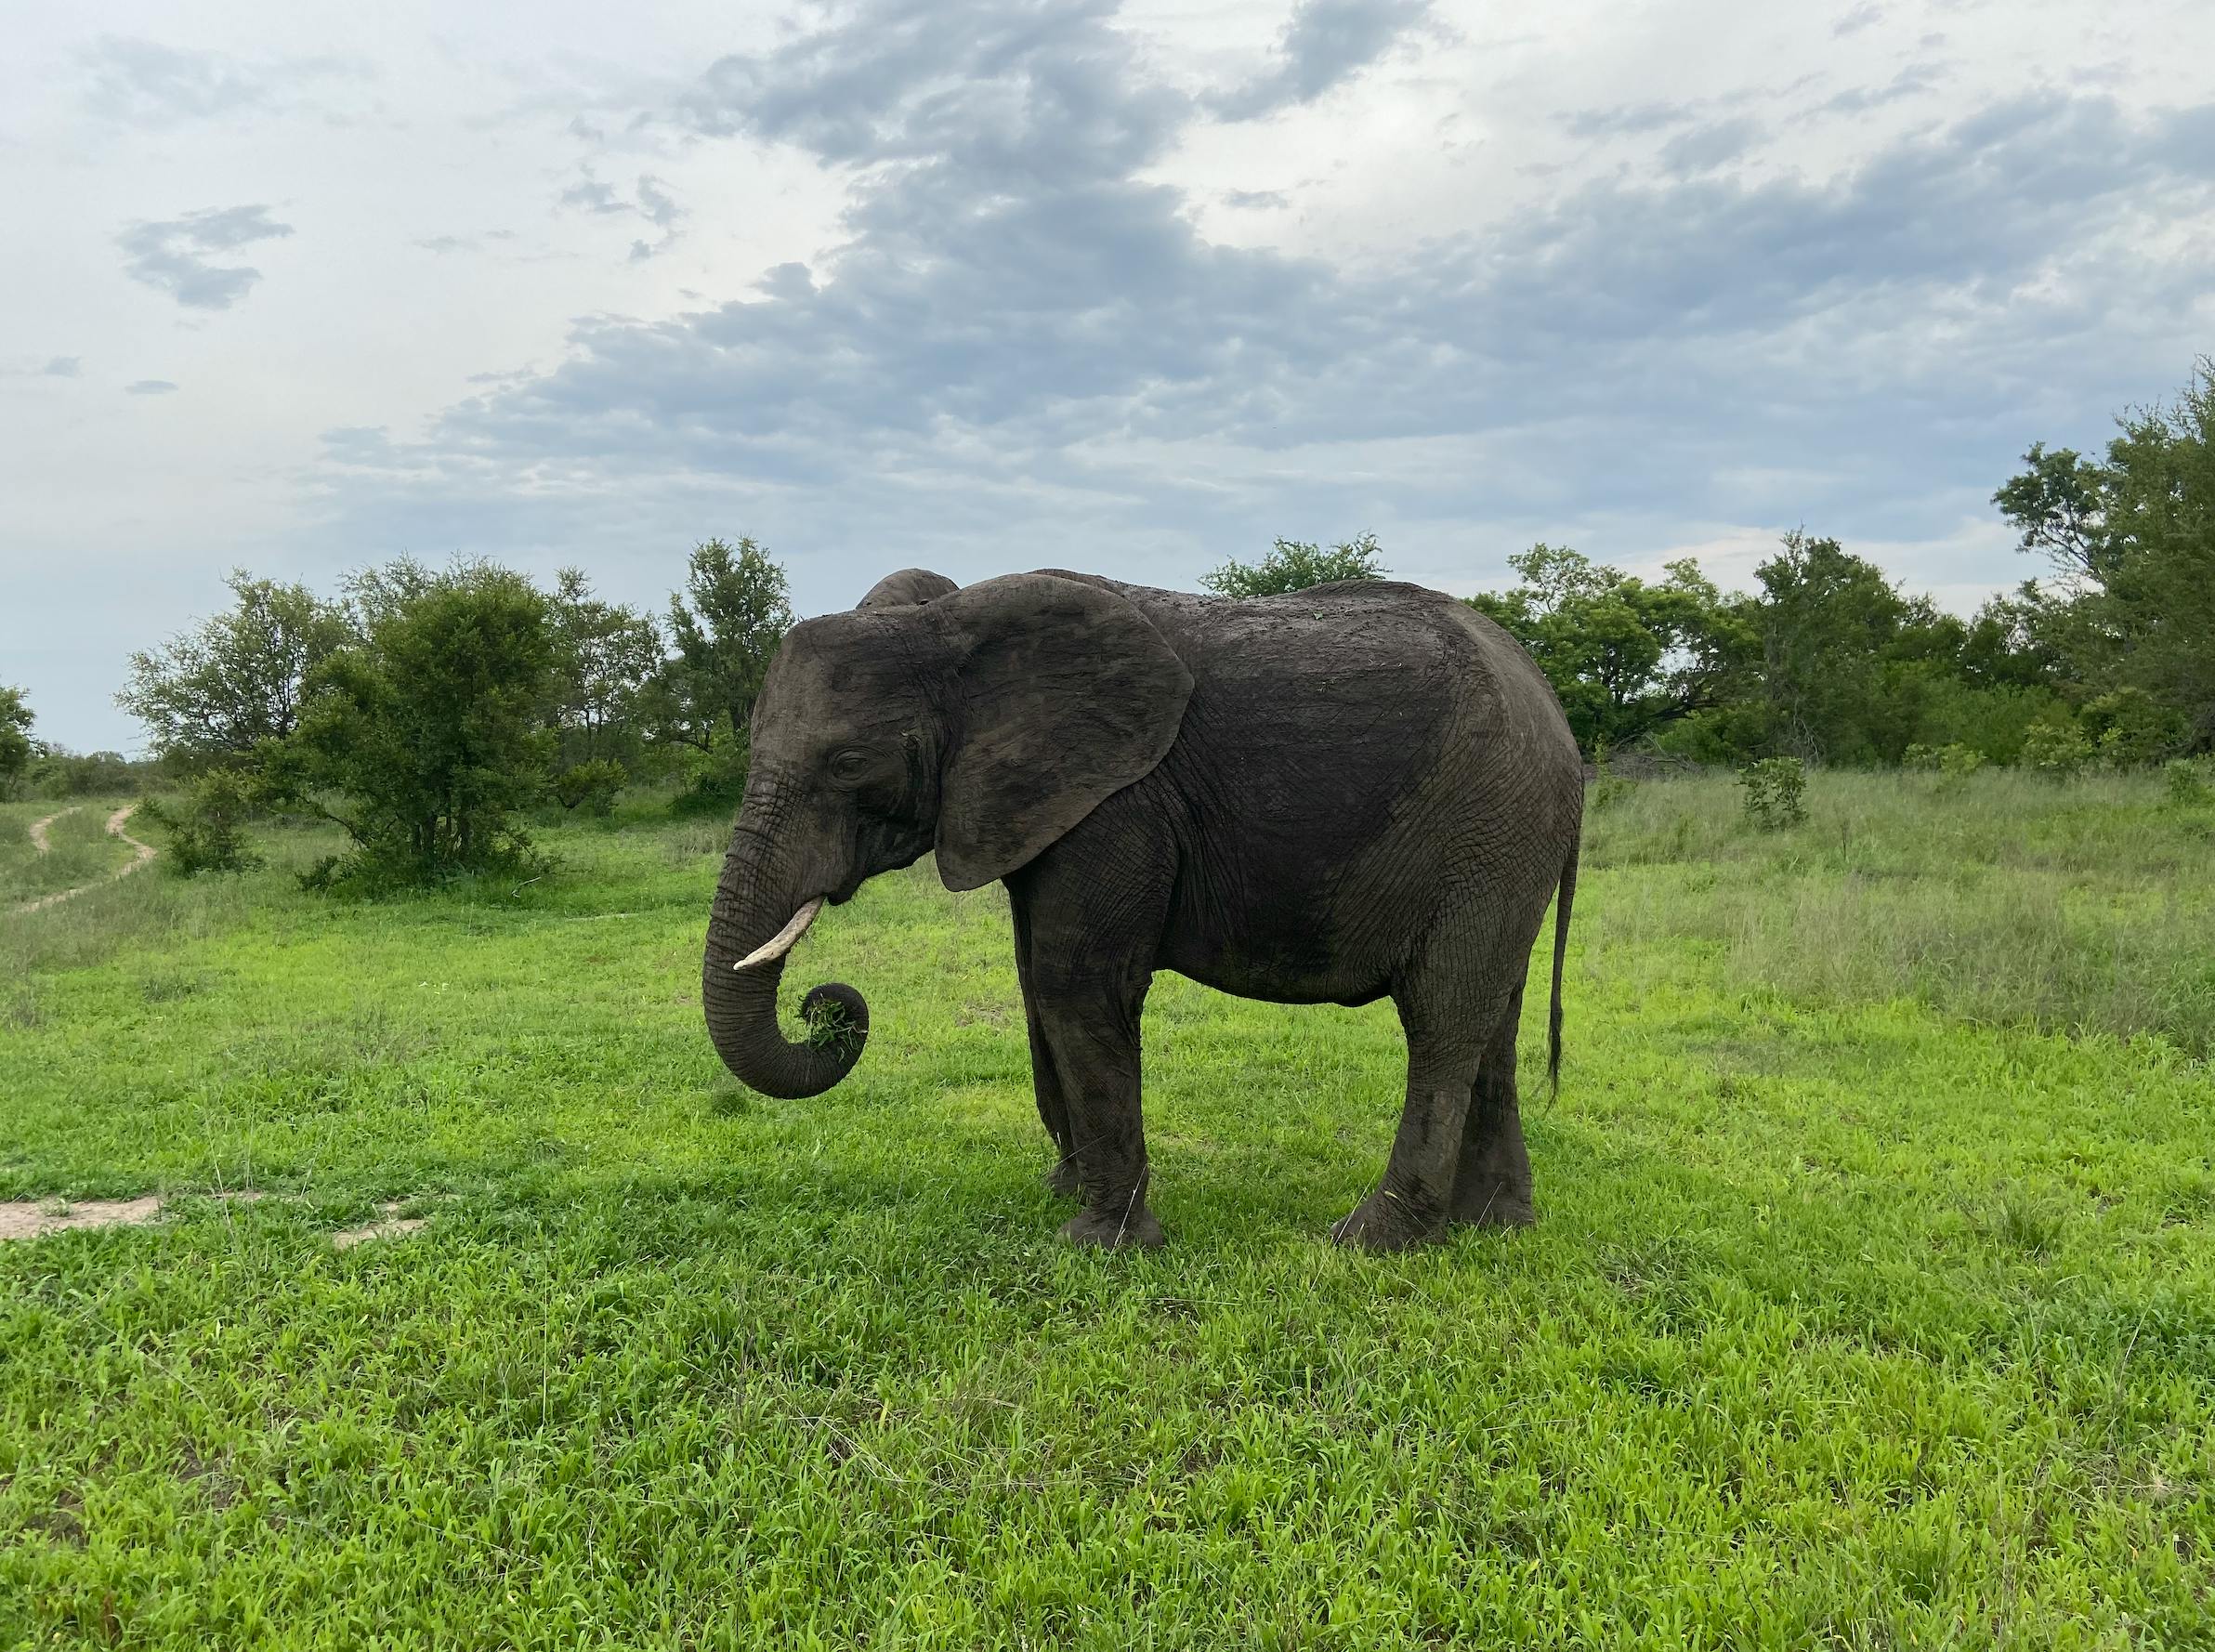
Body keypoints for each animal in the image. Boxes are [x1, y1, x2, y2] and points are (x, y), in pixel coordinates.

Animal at [702, 567, 1584, 1252]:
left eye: (849, 764)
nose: (826, 1006)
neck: (951, 631)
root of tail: (1557, 717)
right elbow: (1035, 985)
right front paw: (1063, 1189)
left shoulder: (1119, 805)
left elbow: (1077, 987)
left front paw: (1099, 1242)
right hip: (1506, 847)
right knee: (1493, 1022)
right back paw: (1495, 1226)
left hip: (1487, 827)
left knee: (1442, 1018)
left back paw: (1370, 1241)